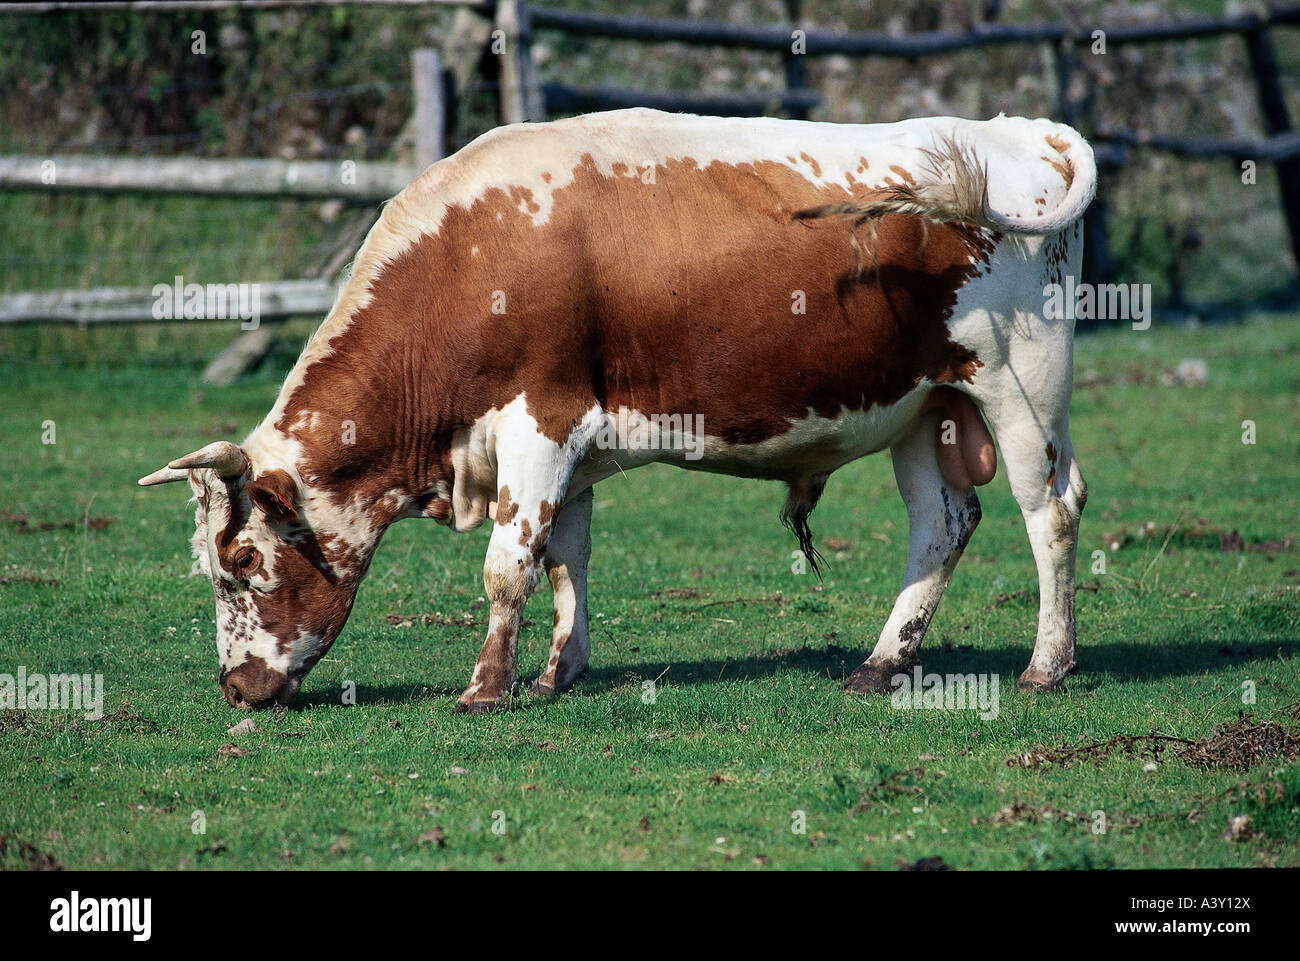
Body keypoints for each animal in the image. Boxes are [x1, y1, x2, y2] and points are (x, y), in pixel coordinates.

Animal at [139, 108, 1095, 713]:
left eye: (243, 564)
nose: (236, 689)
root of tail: (1018, 131)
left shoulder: (539, 422)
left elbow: (507, 565)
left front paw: (485, 689)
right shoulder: (569, 445)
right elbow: (566, 557)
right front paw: (556, 674)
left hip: (1018, 382)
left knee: (1050, 508)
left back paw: (1046, 666)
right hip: (926, 407)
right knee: (942, 523)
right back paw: (881, 665)